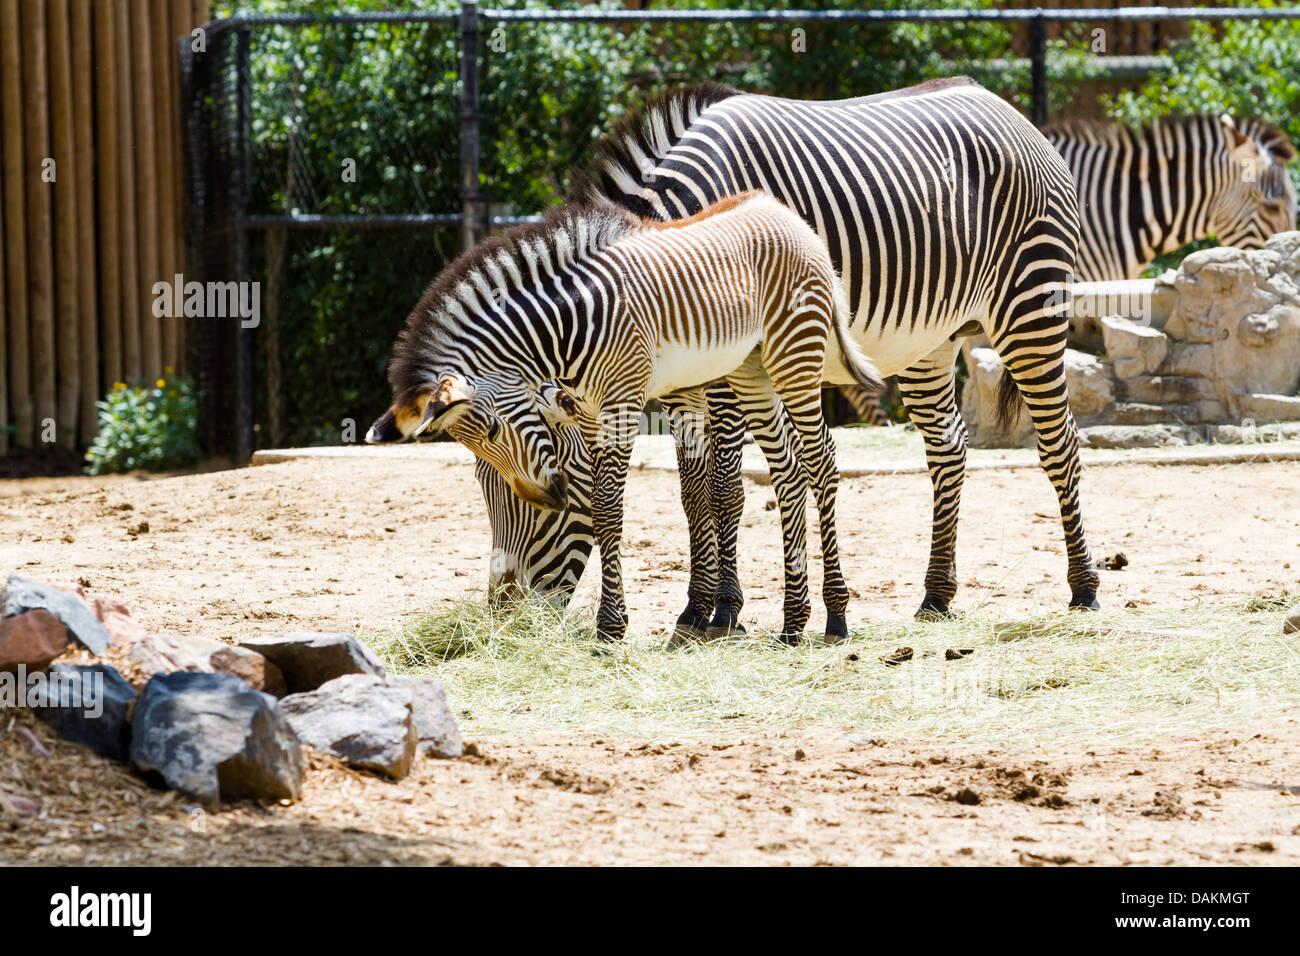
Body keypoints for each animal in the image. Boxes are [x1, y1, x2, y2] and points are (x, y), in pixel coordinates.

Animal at [367, 191, 883, 643]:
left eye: (493, 430)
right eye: (477, 471)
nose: (503, 607)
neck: (572, 327)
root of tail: (784, 213)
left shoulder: (621, 402)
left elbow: (608, 510)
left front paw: (610, 628)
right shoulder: (593, 412)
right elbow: (618, 506)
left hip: (796, 354)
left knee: (821, 463)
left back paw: (835, 616)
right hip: (749, 368)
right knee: (788, 470)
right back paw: (793, 622)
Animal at [475, 77, 1103, 640]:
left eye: (542, 491)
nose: (502, 614)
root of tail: (1010, 110)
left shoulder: (726, 366)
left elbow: (724, 485)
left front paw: (724, 610)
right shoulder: (681, 375)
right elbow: (692, 488)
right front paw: (696, 608)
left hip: (1031, 303)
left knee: (1060, 444)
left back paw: (1084, 588)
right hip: (931, 339)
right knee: (948, 450)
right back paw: (935, 596)